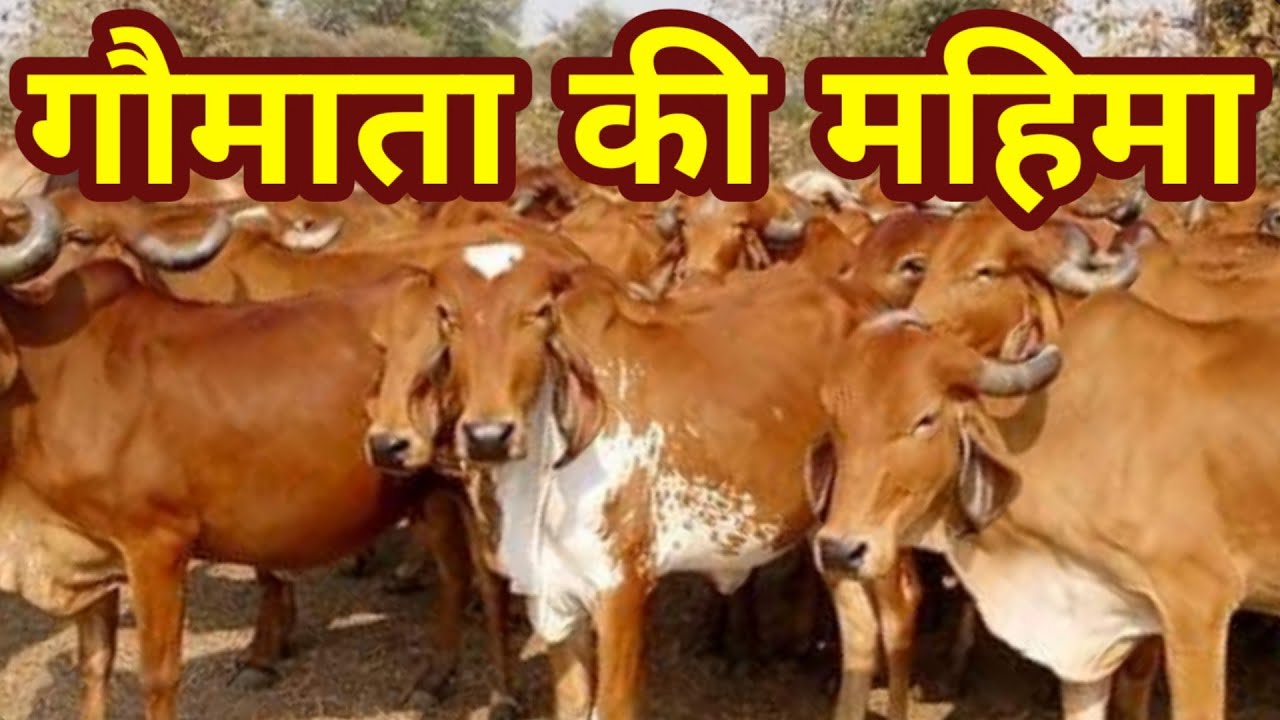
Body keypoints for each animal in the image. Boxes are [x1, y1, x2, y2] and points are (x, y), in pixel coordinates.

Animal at [362, 241, 932, 720]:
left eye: (539, 313)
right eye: (447, 315)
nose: (487, 435)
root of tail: (872, 303)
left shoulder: (622, 589)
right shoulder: (555, 593)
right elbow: (572, 705)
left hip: (879, 531)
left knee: (899, 612)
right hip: (831, 531)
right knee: (858, 629)